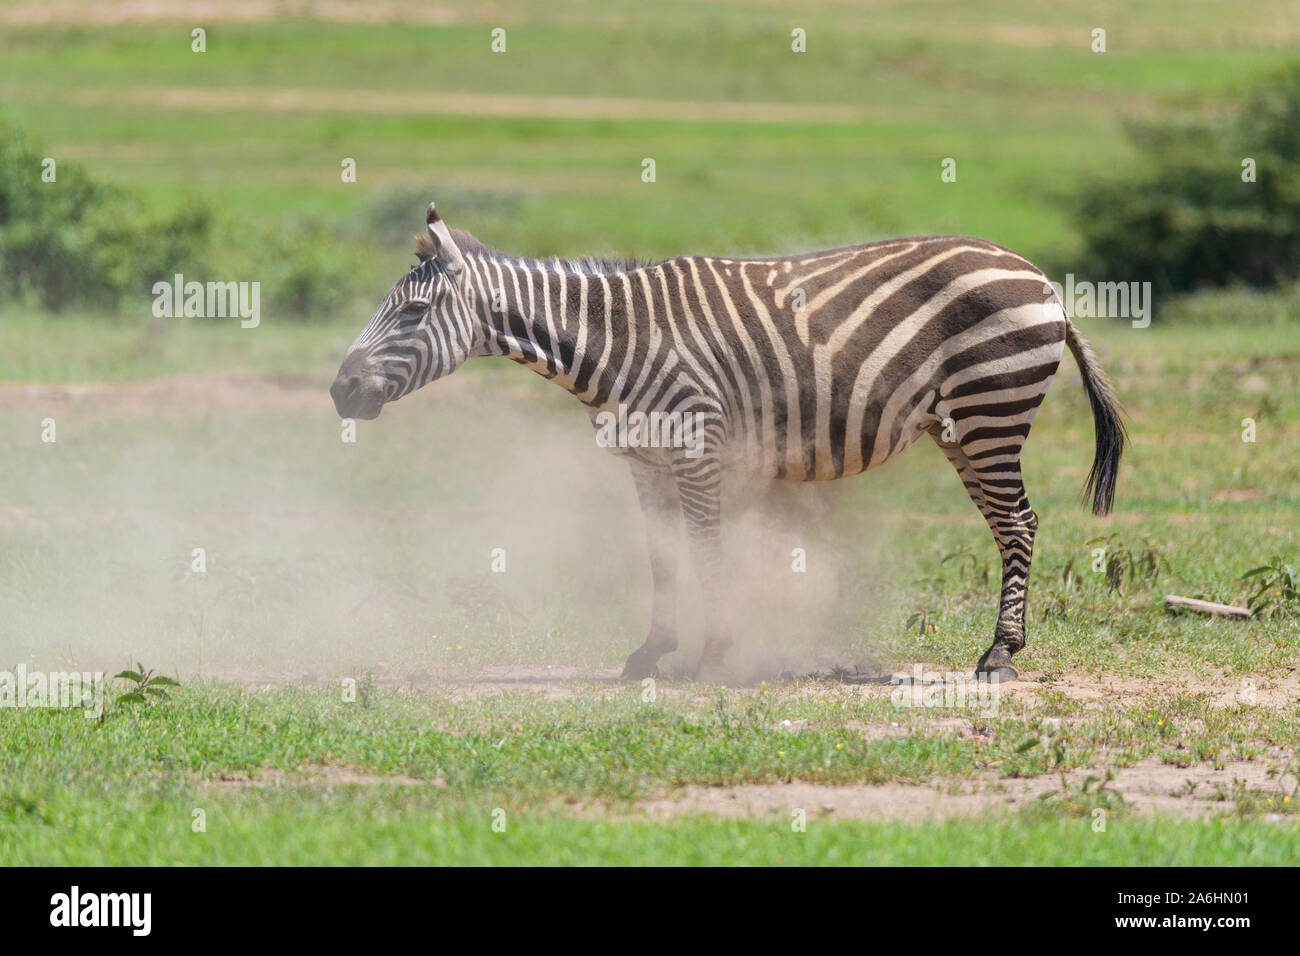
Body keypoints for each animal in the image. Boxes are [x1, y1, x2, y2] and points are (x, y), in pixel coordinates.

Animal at [331, 202, 1124, 682]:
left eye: (413, 314)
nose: (339, 391)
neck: (617, 343)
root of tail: (1040, 278)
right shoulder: (644, 461)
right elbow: (661, 555)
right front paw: (651, 651)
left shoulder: (699, 449)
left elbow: (707, 549)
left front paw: (711, 654)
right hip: (962, 426)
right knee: (1012, 522)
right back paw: (1004, 645)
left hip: (991, 409)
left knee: (1017, 524)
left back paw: (1000, 655)